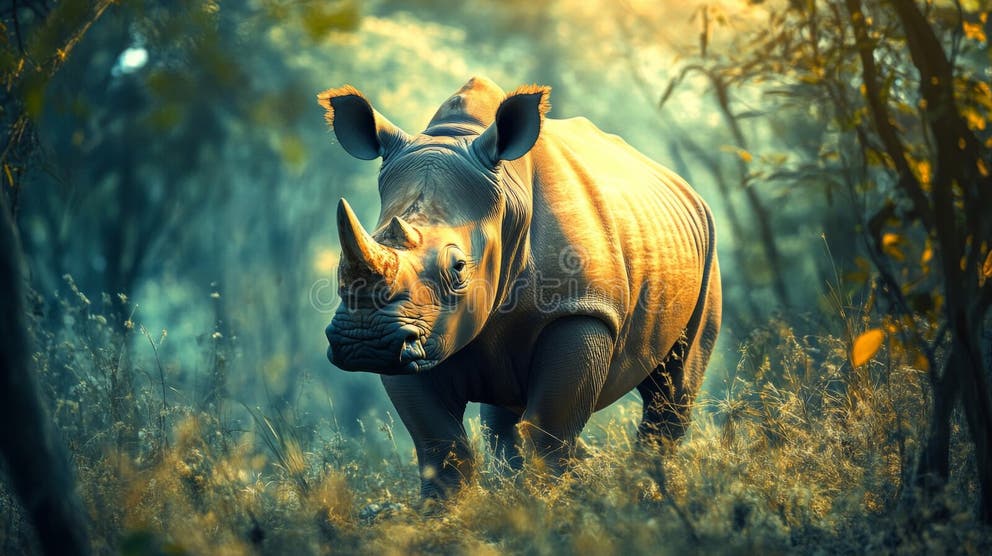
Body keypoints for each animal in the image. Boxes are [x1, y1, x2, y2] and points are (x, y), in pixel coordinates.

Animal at [319, 77, 721, 498]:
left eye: (458, 267)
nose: (364, 341)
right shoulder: (414, 335)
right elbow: (439, 444)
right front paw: (447, 512)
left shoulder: (581, 309)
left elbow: (551, 430)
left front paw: (551, 502)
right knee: (504, 417)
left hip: (707, 252)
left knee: (673, 388)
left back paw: (648, 488)